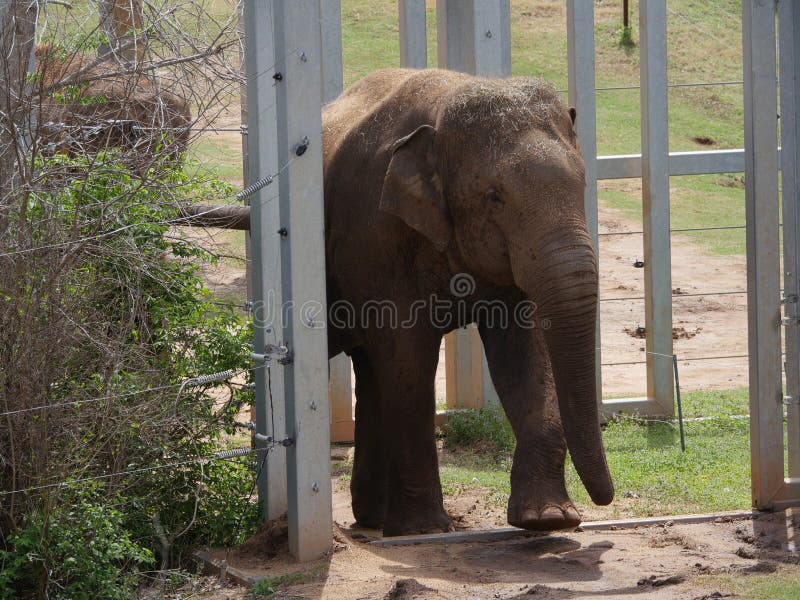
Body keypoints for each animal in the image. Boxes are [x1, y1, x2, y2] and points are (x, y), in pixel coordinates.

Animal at [322, 68, 614, 537]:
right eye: (494, 196)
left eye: (582, 184)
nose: (605, 500)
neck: (445, 102)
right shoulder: (375, 236)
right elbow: (409, 357)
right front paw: (424, 530)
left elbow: (525, 356)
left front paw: (549, 520)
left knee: (369, 366)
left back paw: (374, 519)